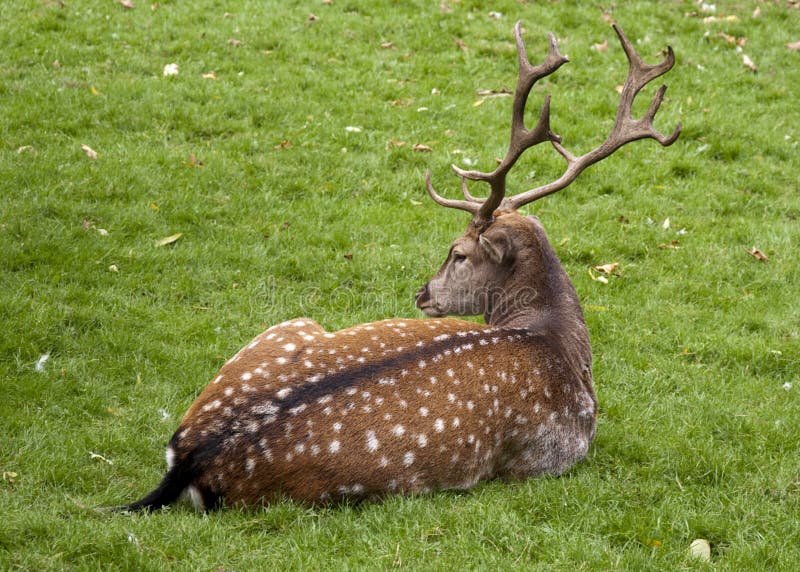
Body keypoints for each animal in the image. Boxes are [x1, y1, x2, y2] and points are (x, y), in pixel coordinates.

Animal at [115, 22, 680, 511]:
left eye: (458, 254)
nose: (422, 293)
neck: (557, 341)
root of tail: (190, 460)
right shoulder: (554, 456)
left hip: (280, 331)